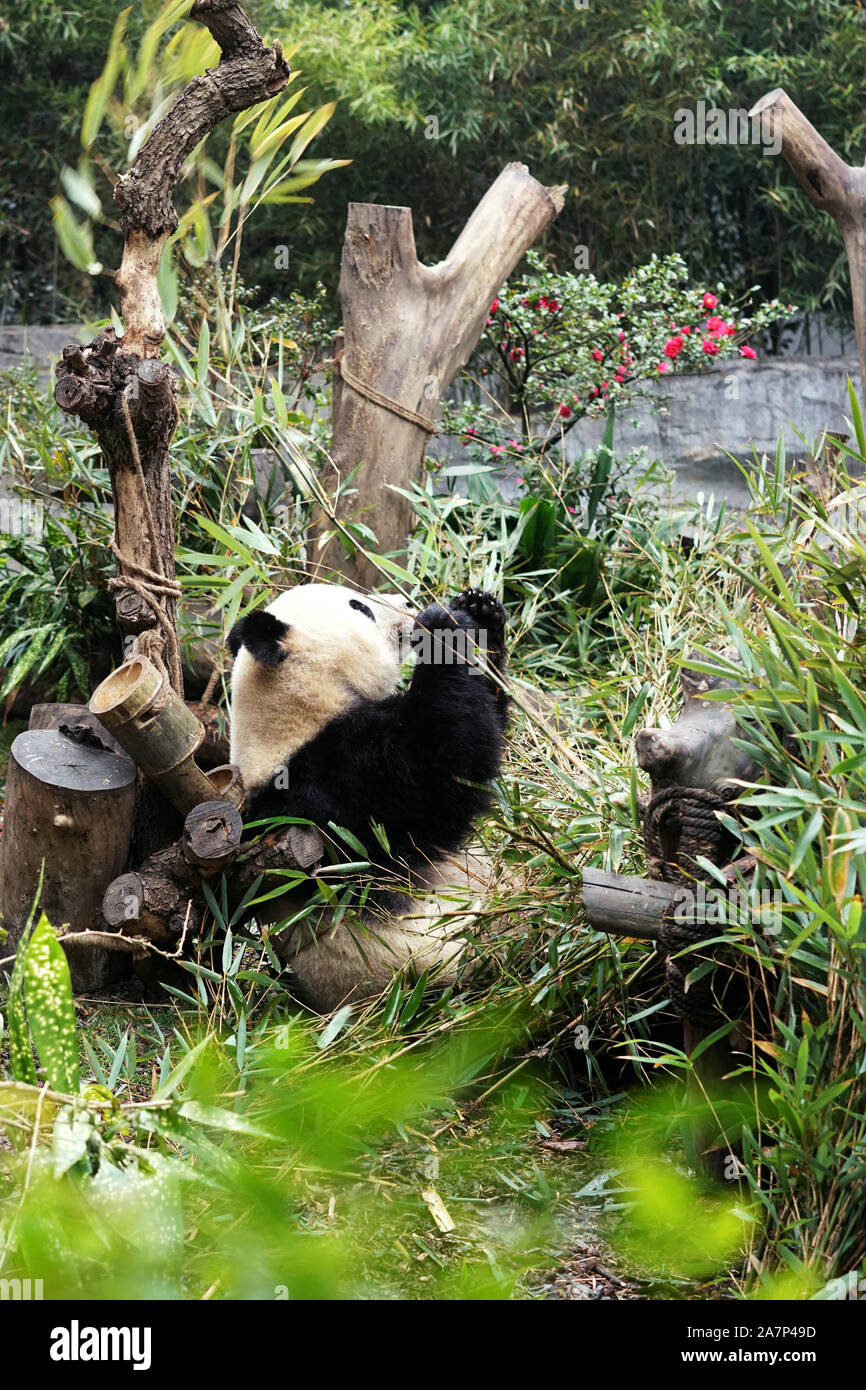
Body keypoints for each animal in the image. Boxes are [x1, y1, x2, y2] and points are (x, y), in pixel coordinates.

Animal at [227, 583, 509, 1011]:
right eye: (360, 607)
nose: (408, 604)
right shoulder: (335, 784)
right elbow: (446, 764)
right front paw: (441, 625)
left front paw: (480, 609)